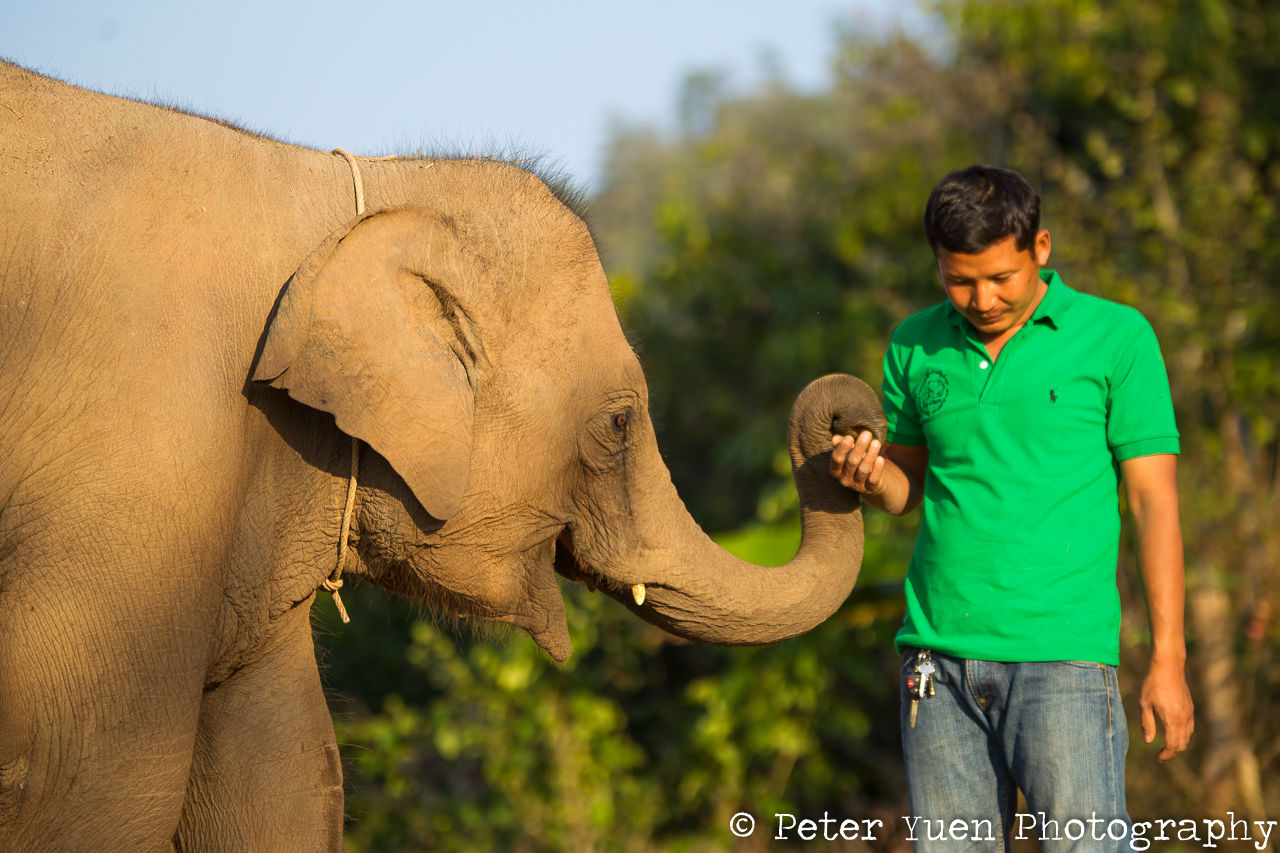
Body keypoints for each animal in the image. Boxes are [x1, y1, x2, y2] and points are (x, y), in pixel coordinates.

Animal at [0, 61, 885, 851]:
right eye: (619, 423)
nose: (850, 422)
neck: (347, 195)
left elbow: (282, 776)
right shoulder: (139, 466)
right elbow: (93, 784)